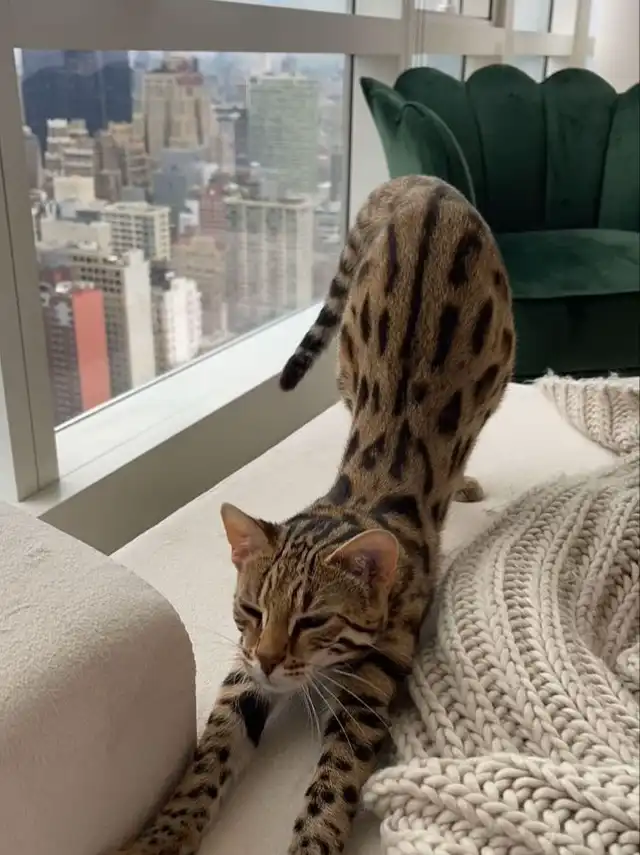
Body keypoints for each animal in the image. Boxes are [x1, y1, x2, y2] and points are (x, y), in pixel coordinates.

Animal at [114, 174, 515, 855]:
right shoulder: (242, 674)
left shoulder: (375, 677)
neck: (356, 501)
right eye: (251, 610)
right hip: (348, 363)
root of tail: (424, 186)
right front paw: (163, 834)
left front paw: (313, 842)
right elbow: (210, 756)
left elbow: (334, 781)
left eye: (315, 620)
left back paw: (463, 481)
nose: (273, 659)